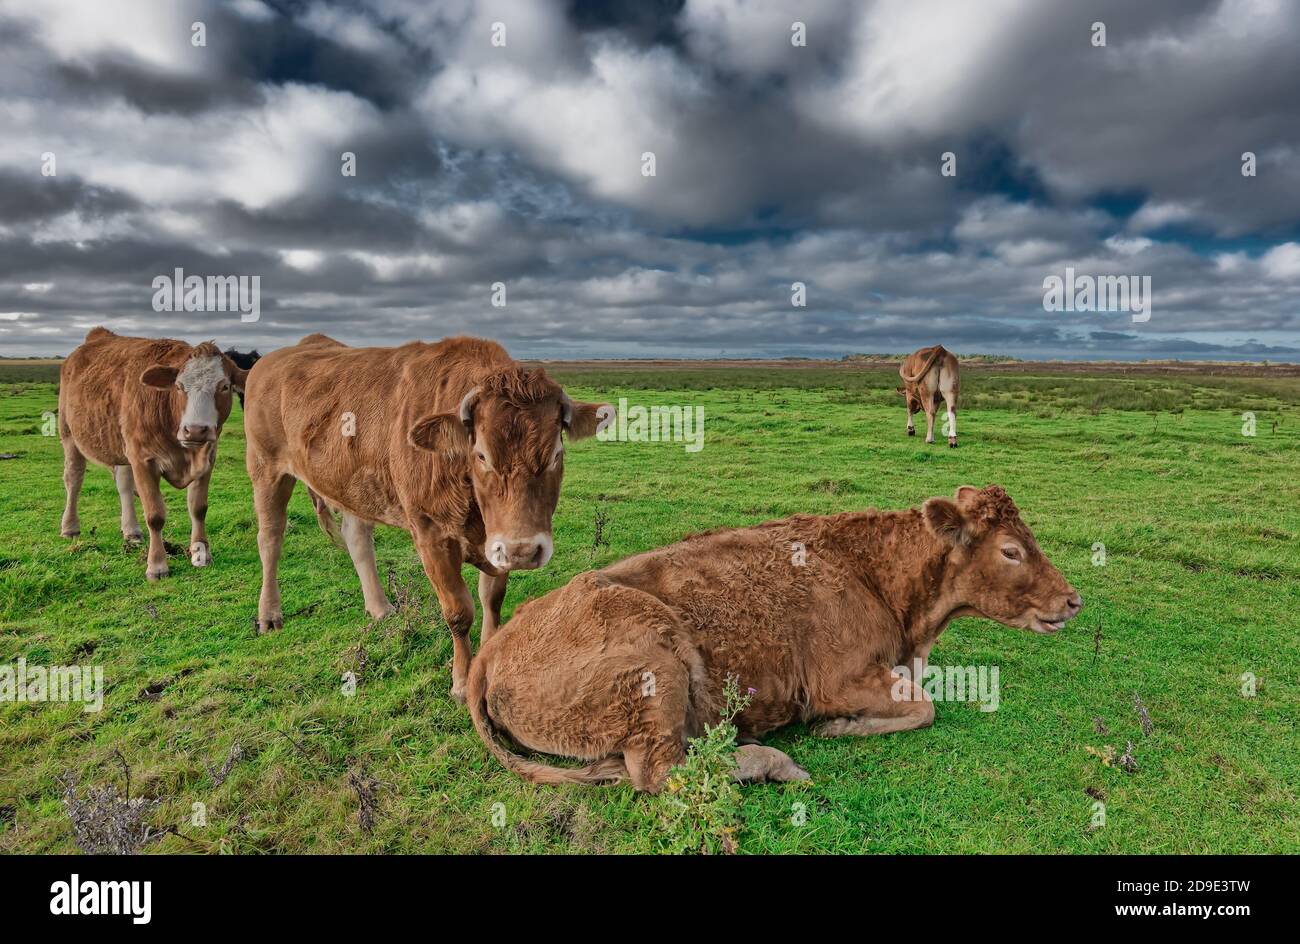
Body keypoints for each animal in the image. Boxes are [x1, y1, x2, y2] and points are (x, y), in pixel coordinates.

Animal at [57, 327, 249, 581]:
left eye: (224, 386)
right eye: (179, 386)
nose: (195, 429)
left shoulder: (207, 458)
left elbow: (198, 508)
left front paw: (201, 554)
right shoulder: (143, 460)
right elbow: (155, 515)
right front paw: (157, 565)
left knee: (124, 485)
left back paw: (131, 531)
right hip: (69, 434)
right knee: (74, 479)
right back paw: (70, 527)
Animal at [242, 333, 613, 701]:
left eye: (556, 454)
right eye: (481, 455)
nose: (523, 551)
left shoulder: (496, 541)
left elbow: (492, 600)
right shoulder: (430, 534)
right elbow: (459, 611)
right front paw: (461, 683)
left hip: (351, 482)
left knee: (357, 536)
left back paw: (380, 608)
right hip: (265, 467)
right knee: (270, 538)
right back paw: (269, 614)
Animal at [467, 485, 1082, 792]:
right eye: (1011, 550)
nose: (1072, 601)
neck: (870, 570)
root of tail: (490, 653)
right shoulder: (838, 680)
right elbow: (925, 707)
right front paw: (838, 727)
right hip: (657, 665)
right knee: (660, 772)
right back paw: (774, 763)